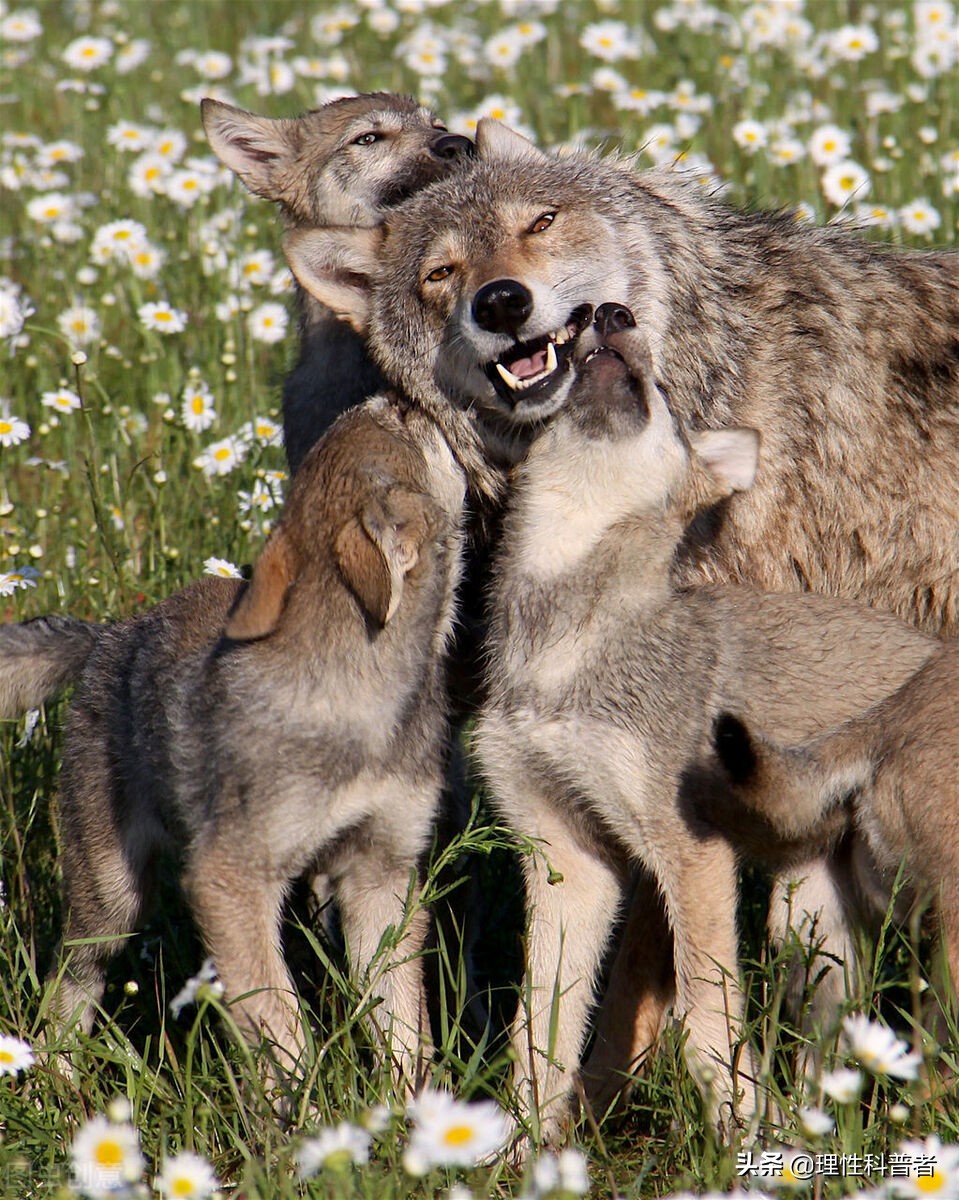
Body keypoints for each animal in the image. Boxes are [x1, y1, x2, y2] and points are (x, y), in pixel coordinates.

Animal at [0, 397, 465, 1092]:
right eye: (407, 420)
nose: (402, 394)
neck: (362, 704)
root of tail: (110, 636)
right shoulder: (231, 881)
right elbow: (285, 1032)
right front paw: (309, 1117)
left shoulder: (381, 877)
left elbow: (406, 1031)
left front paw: (413, 1113)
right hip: (110, 895)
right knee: (70, 983)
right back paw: (56, 1082)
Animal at [473, 304, 940, 1142]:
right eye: (579, 337)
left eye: (662, 391)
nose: (608, 312)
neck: (563, 649)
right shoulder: (568, 861)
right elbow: (539, 1038)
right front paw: (515, 1155)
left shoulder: (689, 853)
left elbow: (701, 1026)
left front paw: (743, 1137)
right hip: (810, 929)